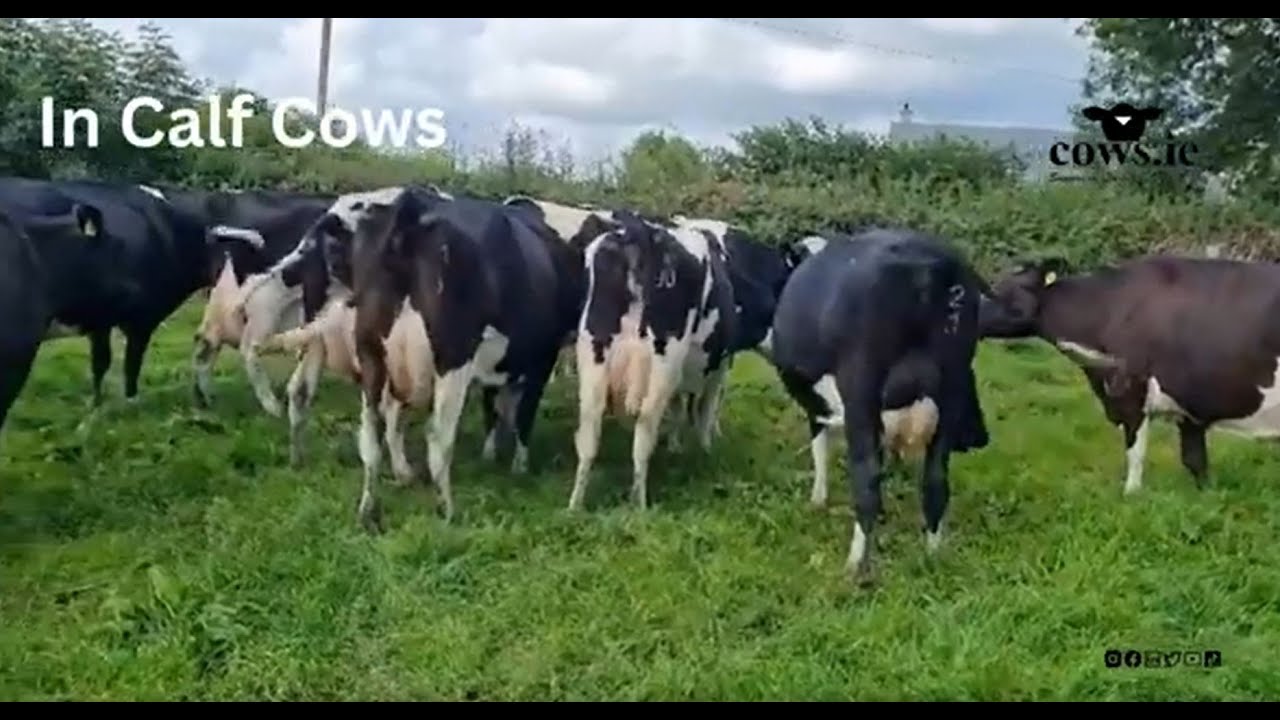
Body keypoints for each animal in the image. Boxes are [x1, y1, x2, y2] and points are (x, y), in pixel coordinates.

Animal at [566, 212, 739, 512]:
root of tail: (638, 234)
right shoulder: (717, 370)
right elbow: (704, 413)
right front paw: (705, 452)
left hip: (593, 357)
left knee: (588, 434)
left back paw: (575, 505)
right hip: (663, 365)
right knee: (645, 431)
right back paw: (640, 505)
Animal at [768, 228, 993, 586]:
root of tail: (931, 262)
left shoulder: (818, 404)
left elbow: (820, 448)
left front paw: (818, 500)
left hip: (861, 388)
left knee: (867, 479)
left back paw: (855, 565)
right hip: (951, 385)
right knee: (935, 480)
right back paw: (932, 555)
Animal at [977, 254, 1280, 496]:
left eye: (1011, 295)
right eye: (996, 289)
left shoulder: (1131, 393)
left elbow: (1136, 453)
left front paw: (1131, 495)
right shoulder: (1189, 406)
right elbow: (1195, 461)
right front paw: (1207, 496)